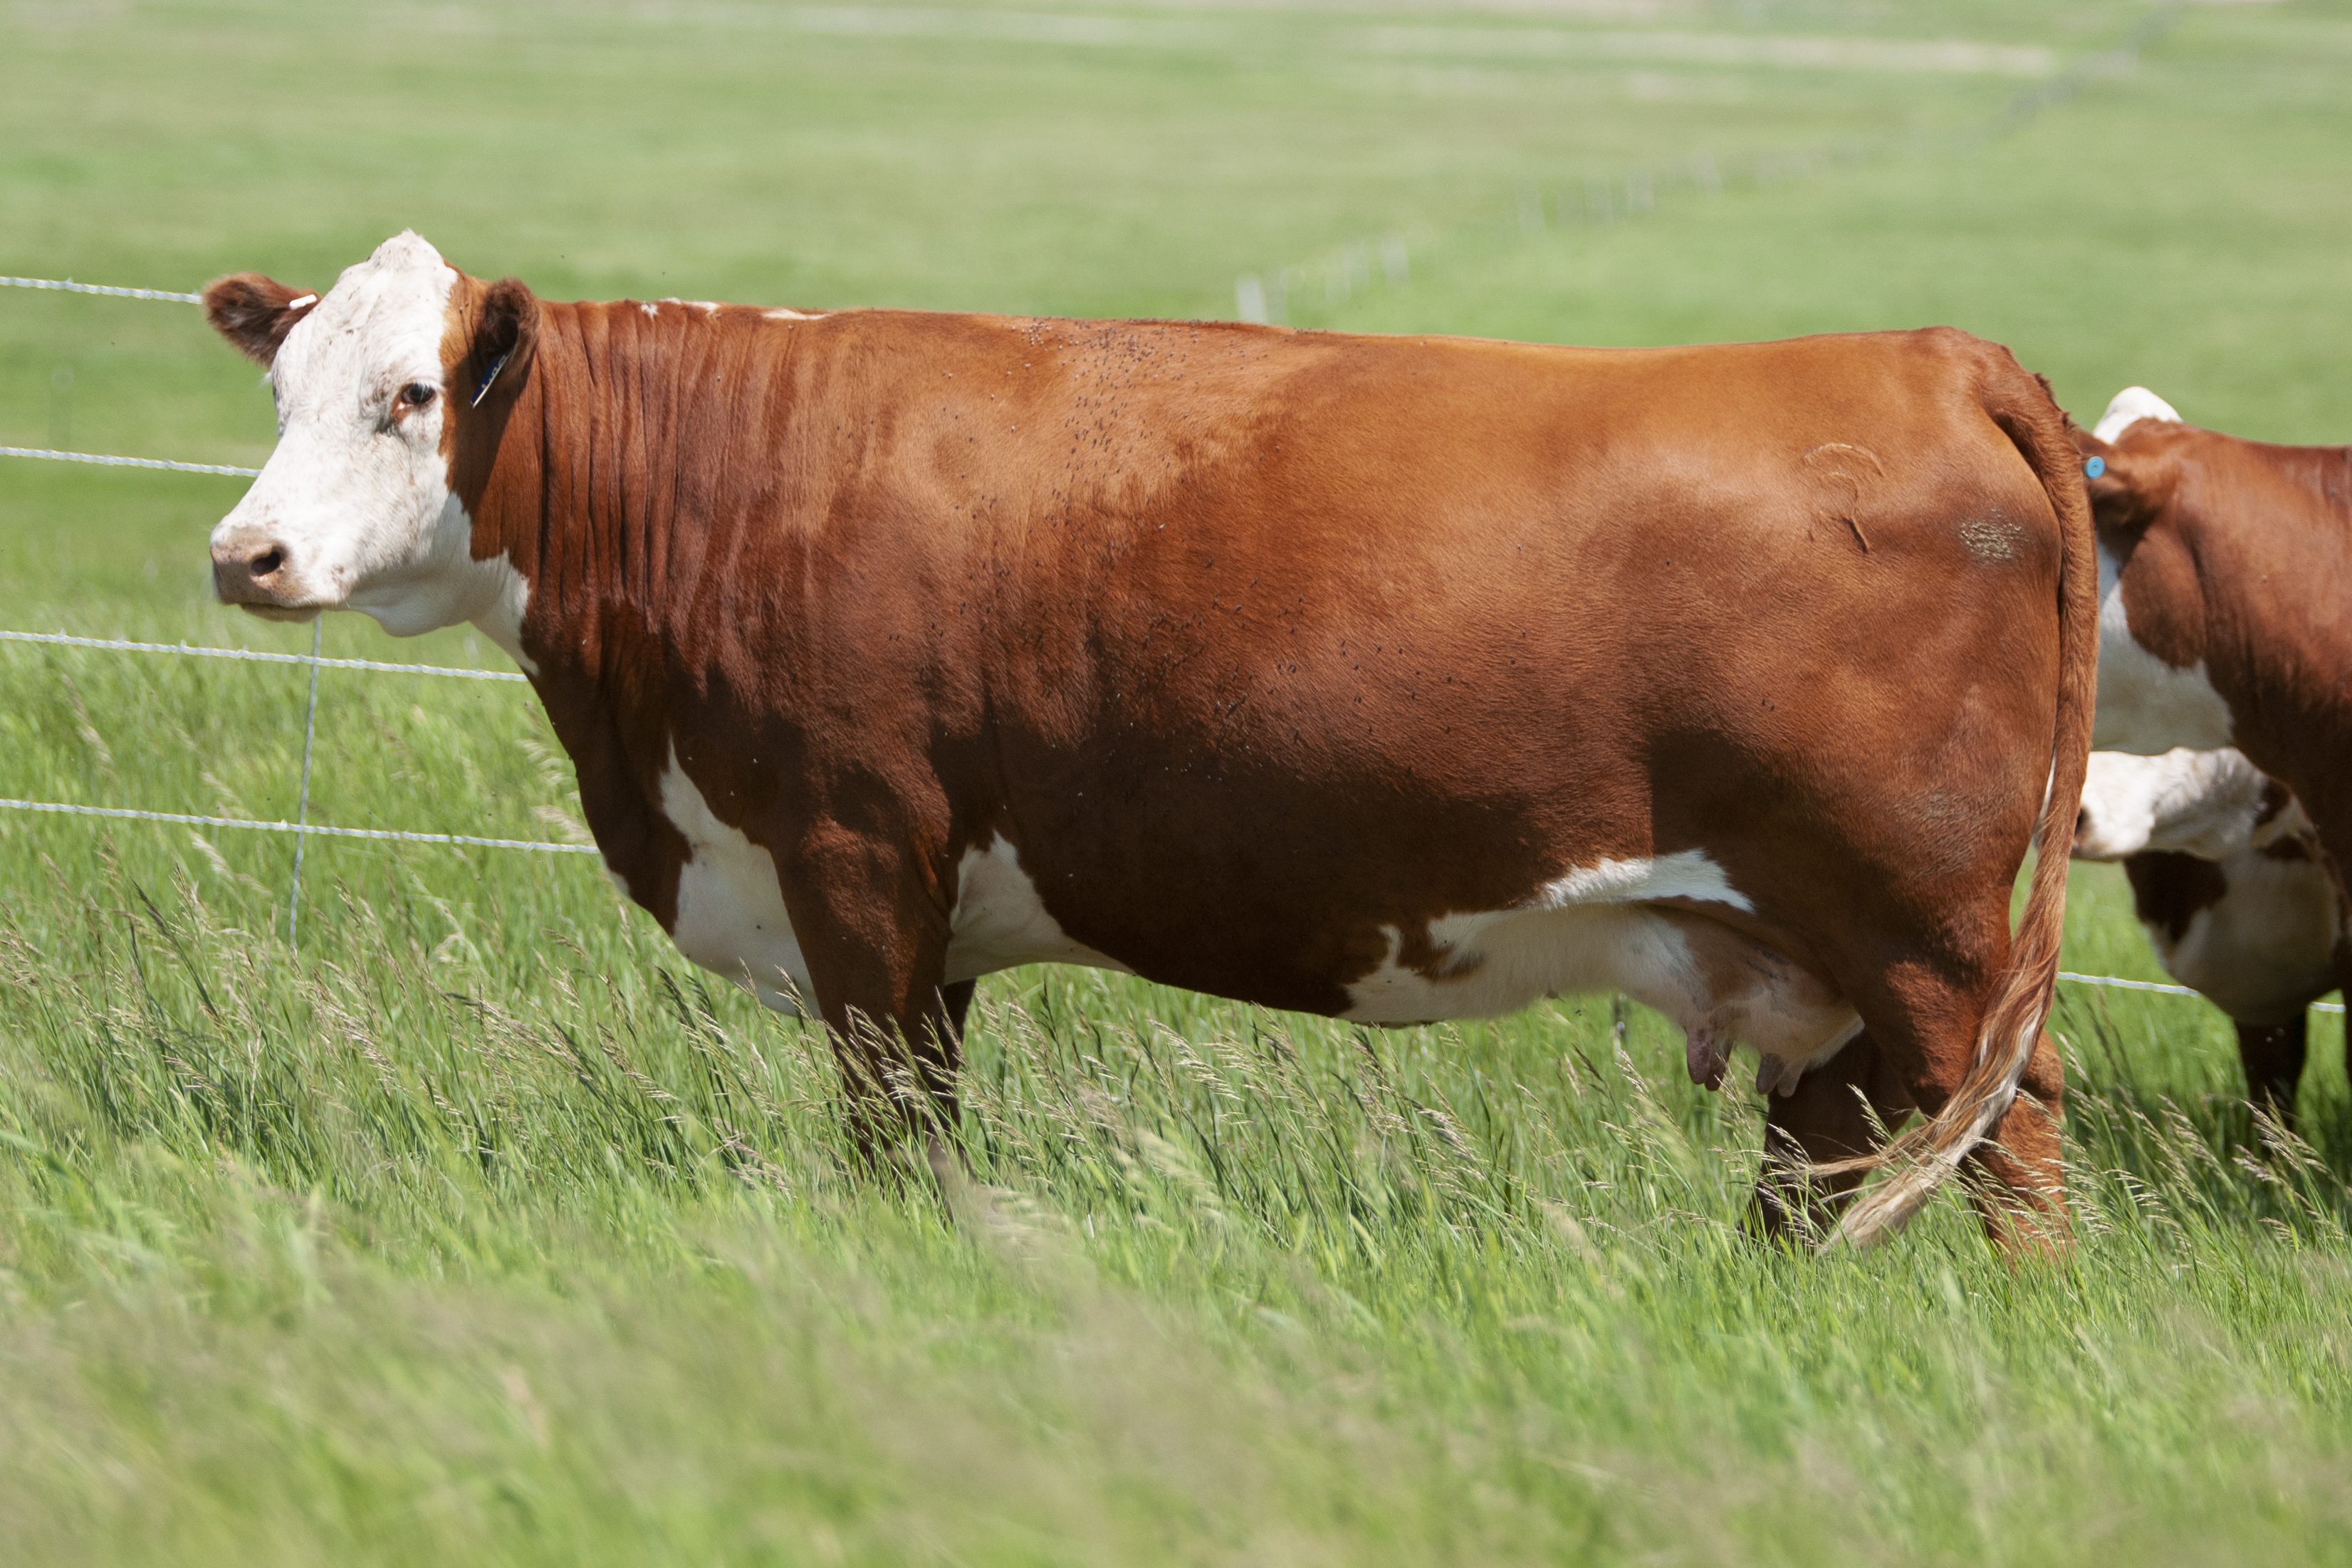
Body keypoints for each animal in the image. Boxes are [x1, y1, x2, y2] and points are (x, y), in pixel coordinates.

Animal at [199, 232, 2097, 1252]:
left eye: (409, 398)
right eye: (278, 391)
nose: (245, 555)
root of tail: (1932, 356)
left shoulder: (849, 849)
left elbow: (883, 1120)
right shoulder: (929, 914)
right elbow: (929, 1119)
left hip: (1920, 925)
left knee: (2010, 1127)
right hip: (1811, 953)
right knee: (1834, 1144)